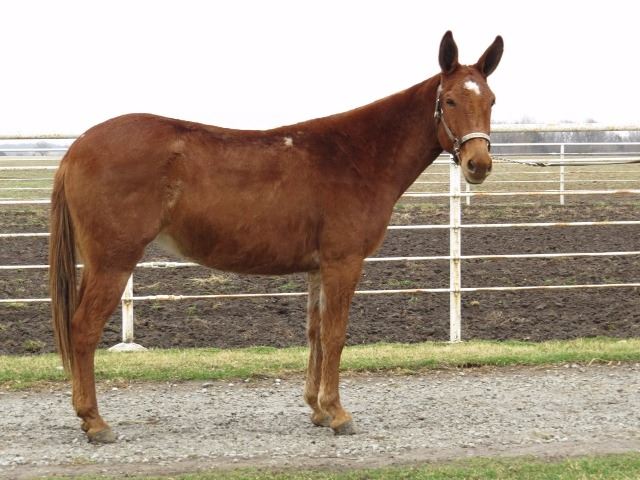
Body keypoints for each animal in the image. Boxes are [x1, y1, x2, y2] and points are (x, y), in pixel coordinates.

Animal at [49, 31, 503, 443]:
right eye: (450, 100)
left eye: (491, 100)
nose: (478, 165)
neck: (355, 155)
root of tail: (77, 148)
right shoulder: (343, 262)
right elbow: (336, 335)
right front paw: (339, 414)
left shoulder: (319, 268)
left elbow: (316, 333)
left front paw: (318, 409)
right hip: (113, 262)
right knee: (83, 329)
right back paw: (95, 422)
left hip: (98, 264)